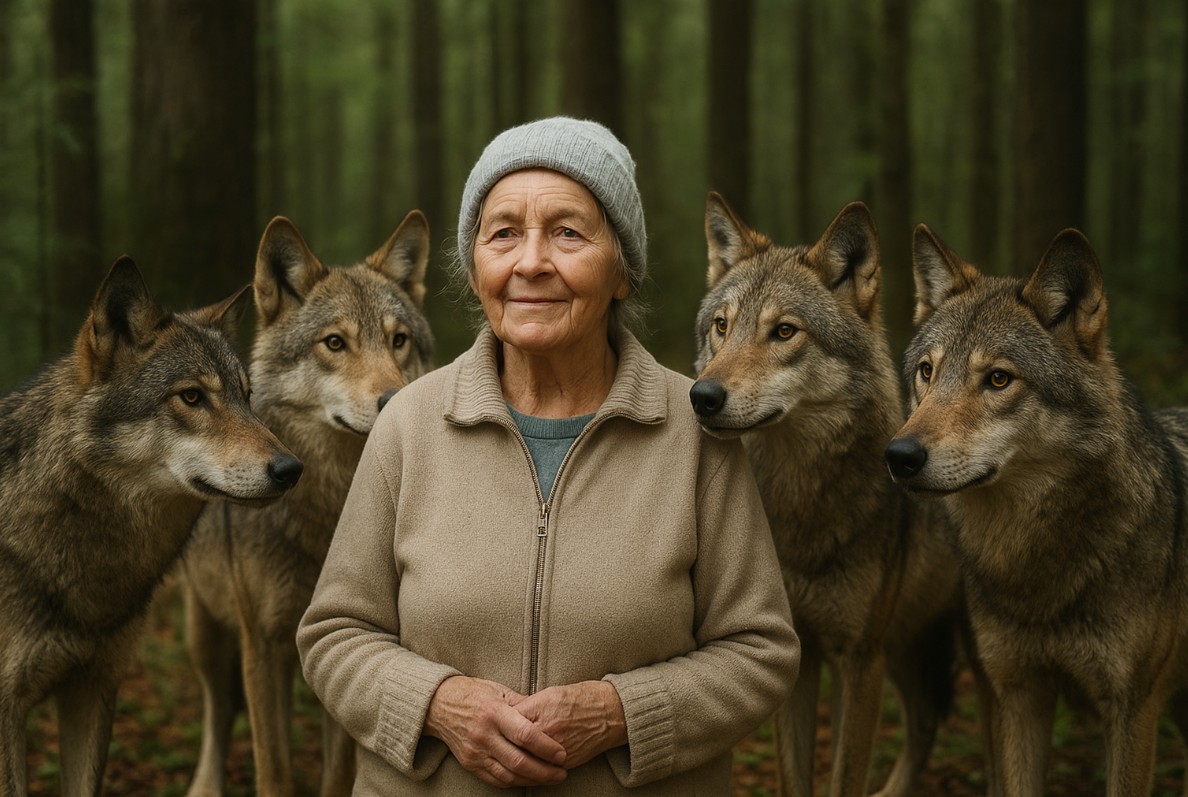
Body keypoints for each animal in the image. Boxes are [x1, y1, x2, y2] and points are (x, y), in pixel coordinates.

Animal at [182, 210, 435, 797]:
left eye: (399, 341)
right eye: (334, 343)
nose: (395, 399)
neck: (326, 509)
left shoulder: (350, 644)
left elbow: (338, 772)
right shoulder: (262, 644)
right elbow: (273, 769)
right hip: (204, 633)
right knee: (217, 710)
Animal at [689, 193, 961, 797]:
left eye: (785, 332)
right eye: (721, 326)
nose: (702, 396)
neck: (800, 508)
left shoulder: (858, 659)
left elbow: (844, 776)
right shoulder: (796, 653)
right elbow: (798, 778)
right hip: (905, 645)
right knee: (925, 719)